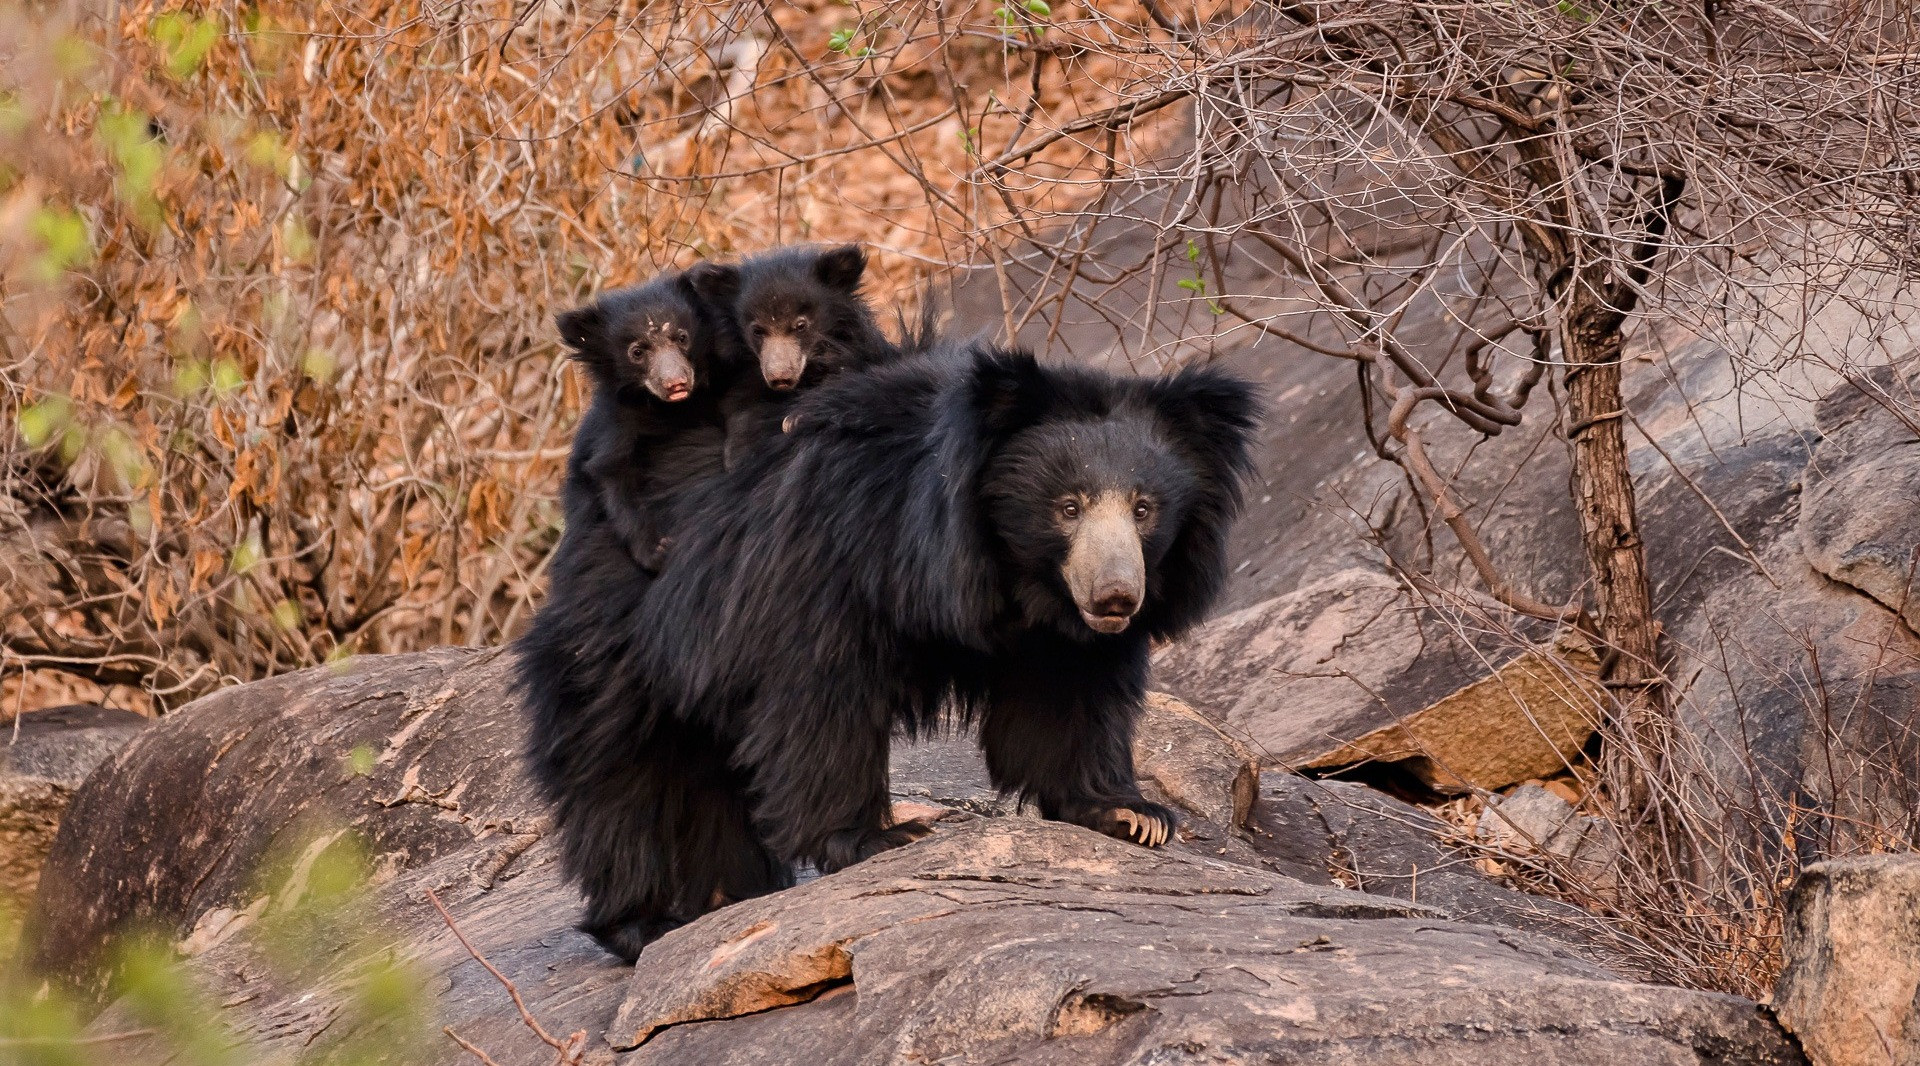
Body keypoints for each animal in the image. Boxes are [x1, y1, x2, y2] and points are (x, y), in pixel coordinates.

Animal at [522, 339, 1259, 962]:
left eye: (1144, 508)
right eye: (1068, 507)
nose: (1115, 599)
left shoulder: (1057, 636)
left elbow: (1069, 699)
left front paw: (1133, 815)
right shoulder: (830, 559)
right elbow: (821, 698)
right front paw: (879, 836)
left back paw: (732, 894)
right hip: (625, 631)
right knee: (621, 772)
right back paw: (645, 921)